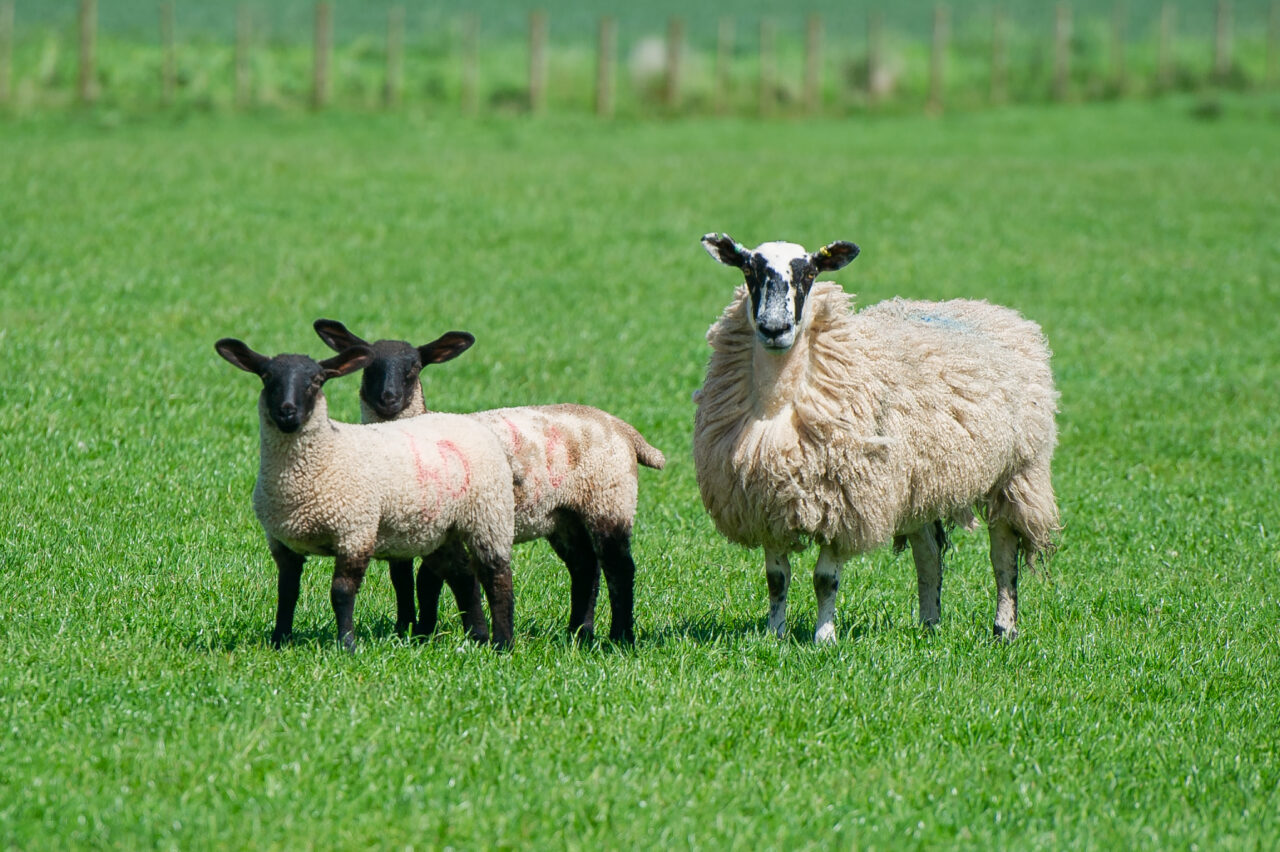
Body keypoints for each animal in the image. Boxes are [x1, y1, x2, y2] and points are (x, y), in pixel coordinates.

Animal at [214, 337, 517, 650]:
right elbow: (286, 594)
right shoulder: (281, 542)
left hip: (488, 516)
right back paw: (478, 635)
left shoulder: (355, 532)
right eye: (267, 377)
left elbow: (341, 592)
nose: (287, 411)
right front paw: (279, 640)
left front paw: (346, 644)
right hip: (439, 530)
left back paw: (502, 643)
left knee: (497, 577)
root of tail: (461, 419)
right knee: (463, 575)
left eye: (316, 381)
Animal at [313, 318, 666, 643]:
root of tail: (623, 429)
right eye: (368, 368)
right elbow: (402, 578)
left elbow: (428, 581)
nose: (388, 399)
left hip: (609, 499)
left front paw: (425, 631)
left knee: (619, 568)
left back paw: (619, 636)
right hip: (564, 515)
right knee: (585, 567)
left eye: (413, 368)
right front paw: (408, 628)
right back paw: (579, 633)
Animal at [693, 234, 1060, 642]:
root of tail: (992, 310)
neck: (777, 404)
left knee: (1003, 554)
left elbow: (825, 580)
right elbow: (776, 579)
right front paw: (775, 636)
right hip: (919, 480)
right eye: (749, 270)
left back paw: (1003, 629)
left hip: (1016, 472)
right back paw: (929, 625)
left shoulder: (846, 501)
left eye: (809, 273)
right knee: (928, 552)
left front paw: (824, 638)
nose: (774, 328)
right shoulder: (765, 497)